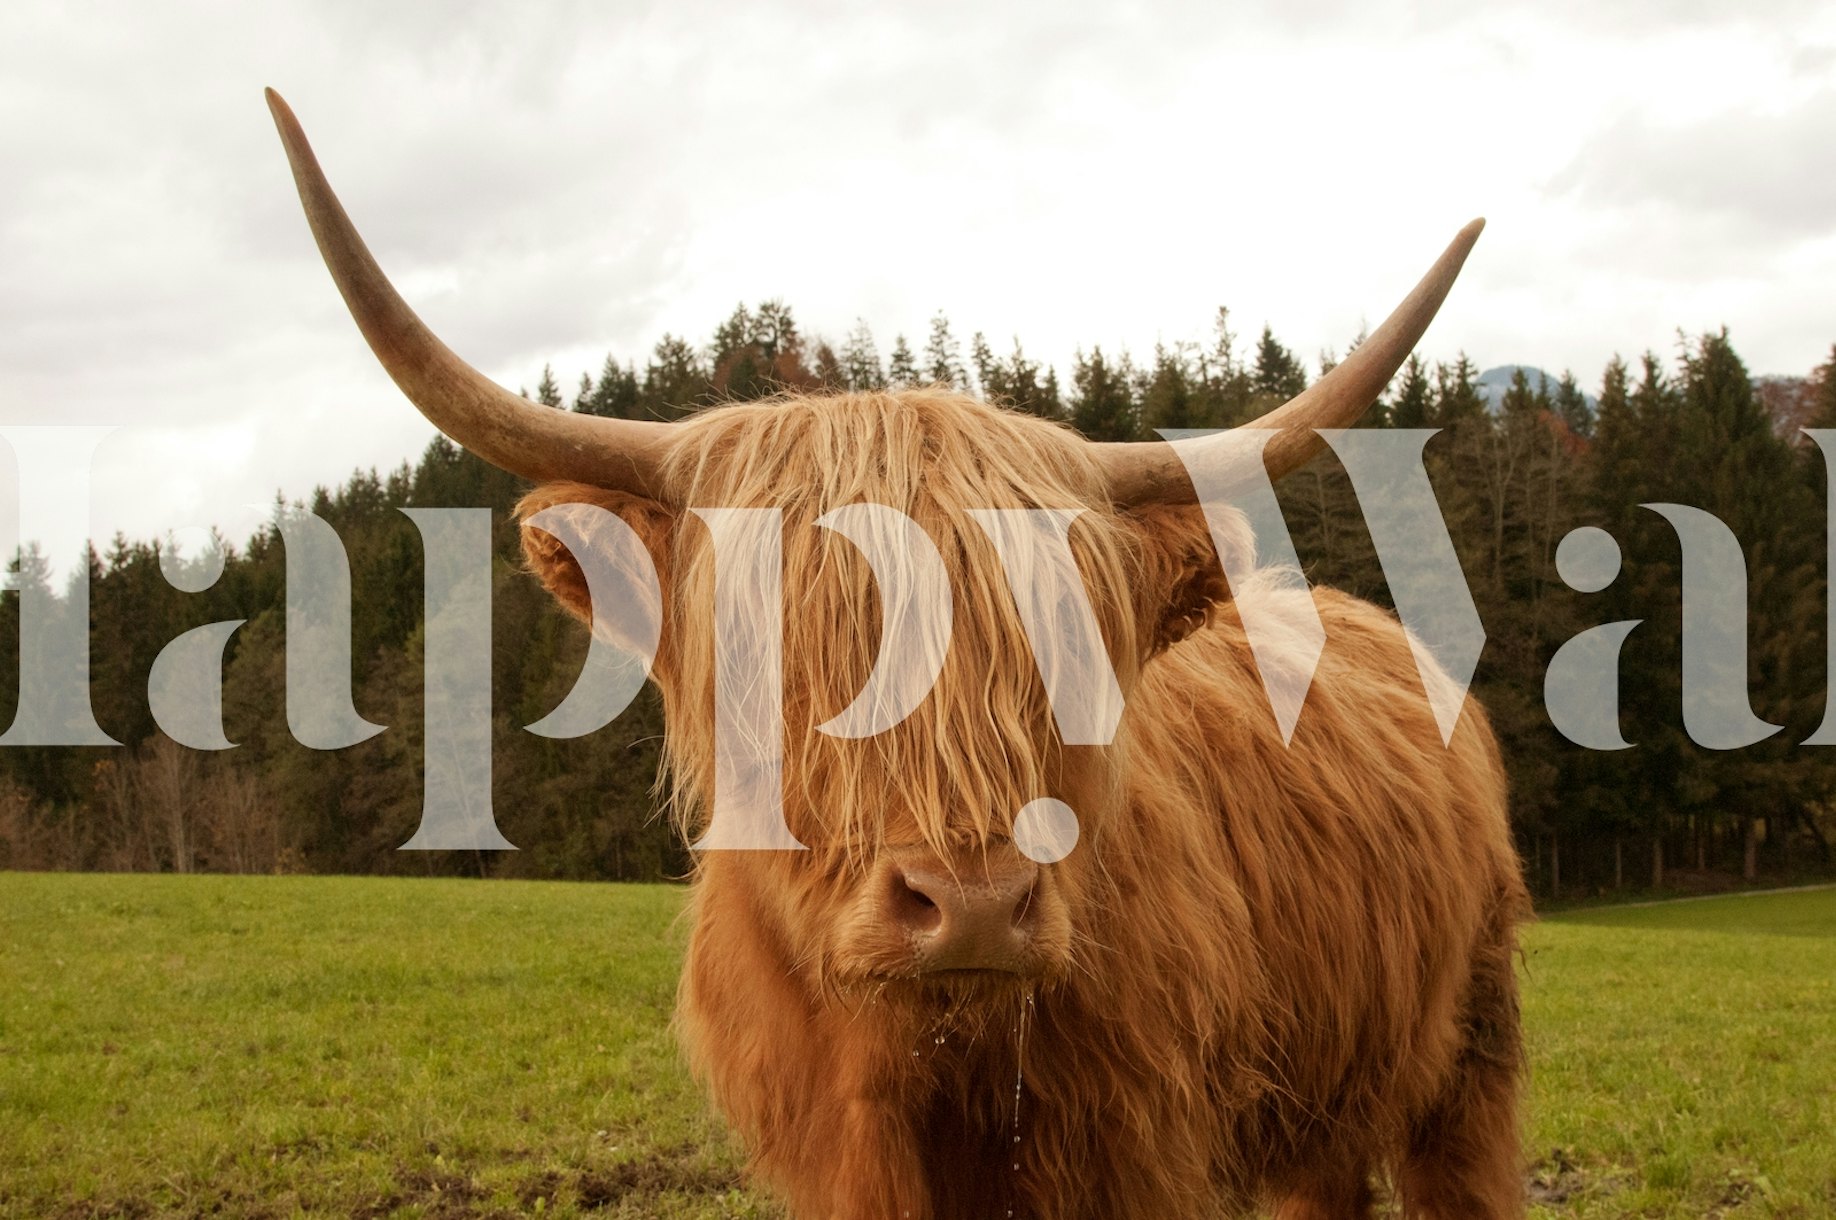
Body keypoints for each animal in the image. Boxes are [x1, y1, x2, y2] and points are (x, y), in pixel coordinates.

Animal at [267, 89, 1530, 1219]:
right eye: (766, 641)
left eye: (1070, 644)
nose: (974, 902)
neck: (929, 1059)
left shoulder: (1137, 1144)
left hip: (1471, 1041)